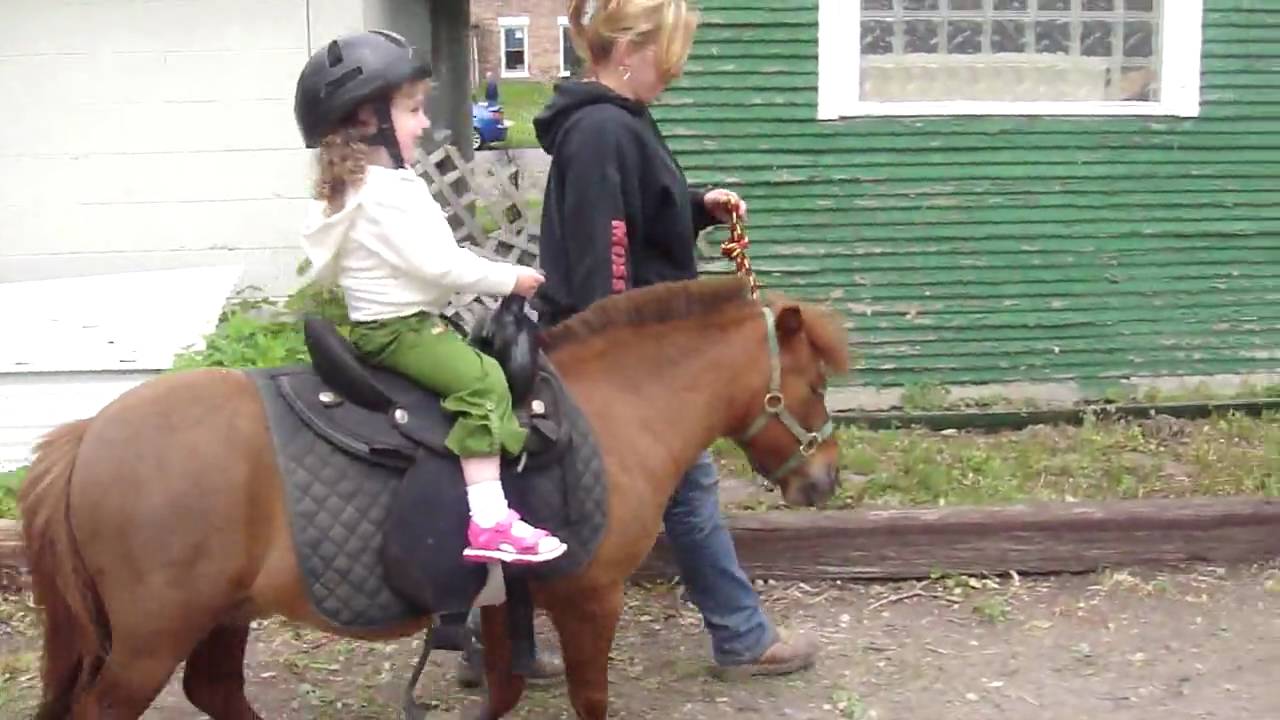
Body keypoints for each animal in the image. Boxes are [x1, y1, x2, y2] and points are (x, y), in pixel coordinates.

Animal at [18, 275, 849, 720]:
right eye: (815, 383)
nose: (826, 479)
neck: (614, 408)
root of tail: (89, 433)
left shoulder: (504, 606)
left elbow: (504, 690)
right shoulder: (590, 598)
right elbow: (588, 699)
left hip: (220, 614)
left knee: (216, 690)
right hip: (150, 639)